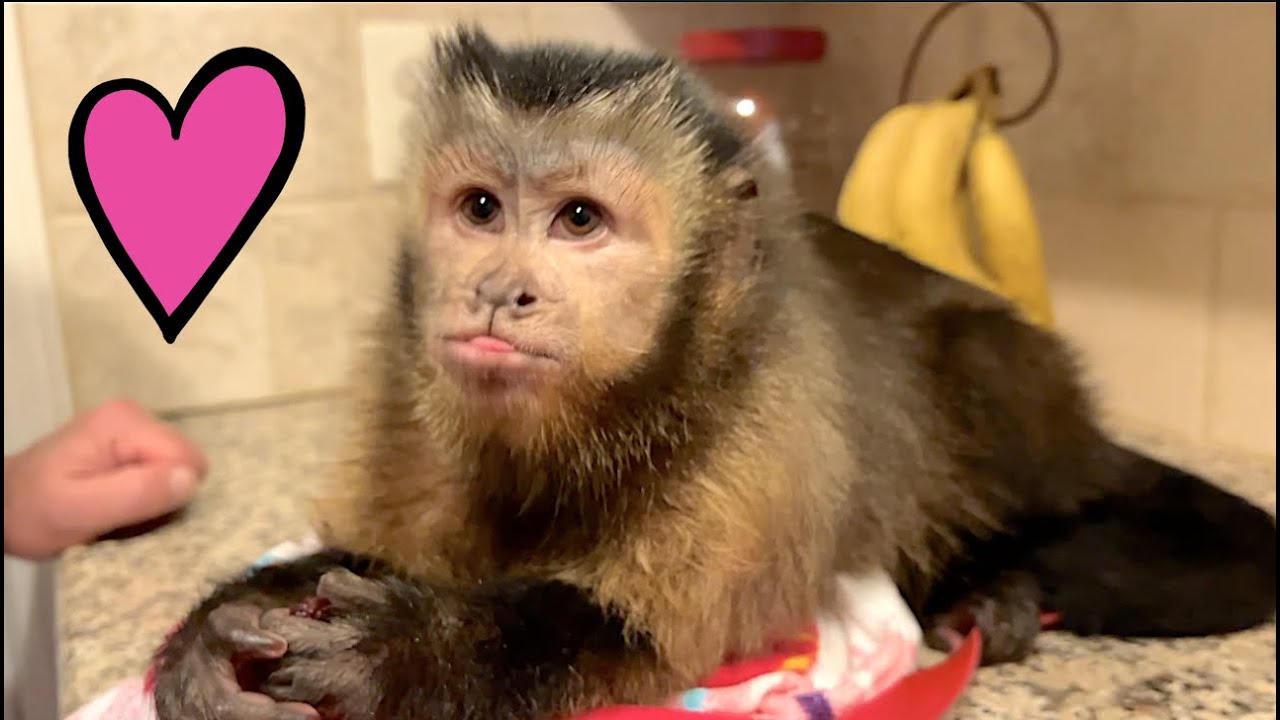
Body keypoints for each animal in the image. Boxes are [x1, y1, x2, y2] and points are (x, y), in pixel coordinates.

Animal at [150, 27, 1276, 720]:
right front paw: (222, 629)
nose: (498, 291)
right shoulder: (408, 400)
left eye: (578, 221)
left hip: (1022, 390)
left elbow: (634, 633)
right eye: (479, 210)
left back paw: (988, 581)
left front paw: (413, 651)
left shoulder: (760, 423)